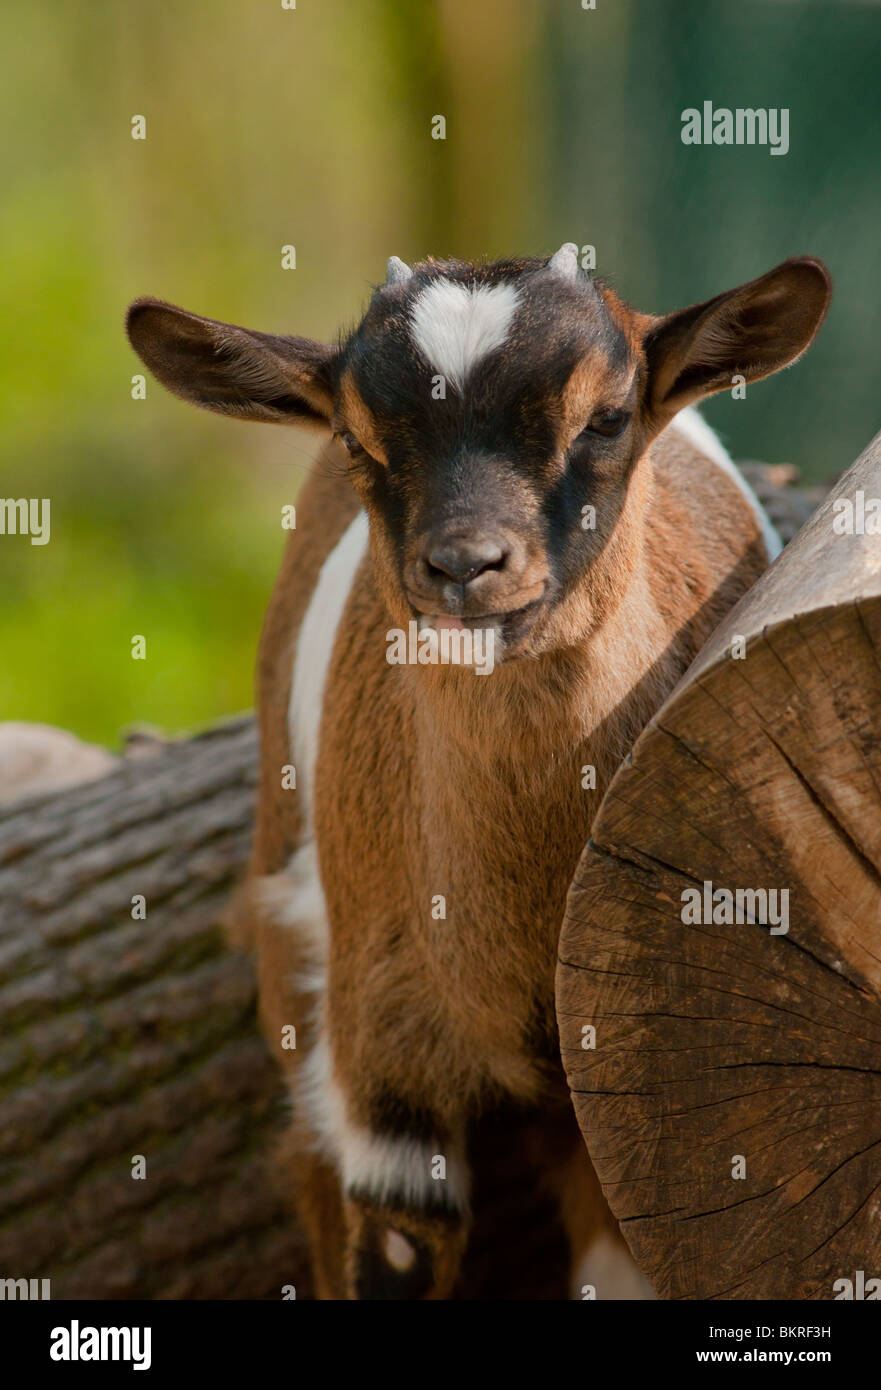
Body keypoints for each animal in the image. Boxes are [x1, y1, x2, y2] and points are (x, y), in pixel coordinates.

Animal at [127, 246, 831, 1299]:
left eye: (606, 417)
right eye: (357, 436)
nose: (464, 566)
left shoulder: (632, 1096)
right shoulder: (385, 1062)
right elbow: (394, 1242)